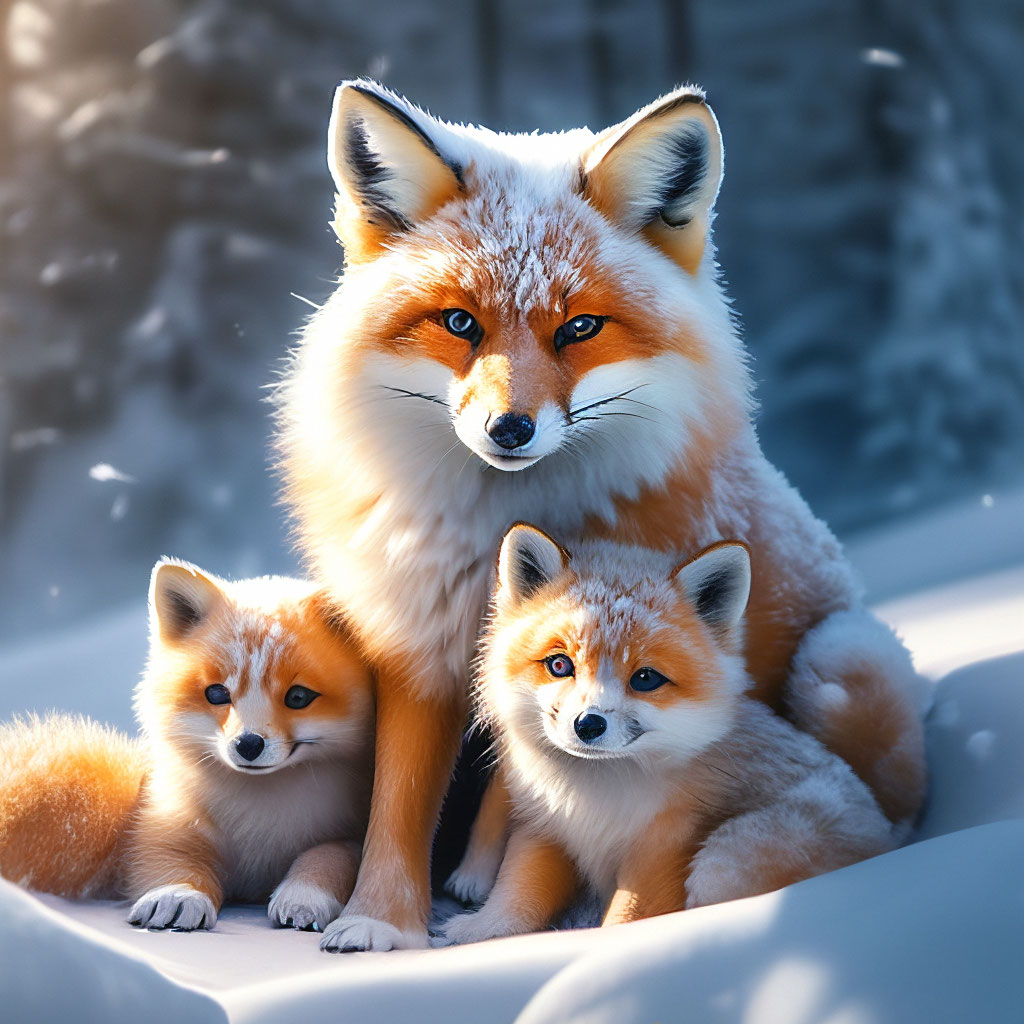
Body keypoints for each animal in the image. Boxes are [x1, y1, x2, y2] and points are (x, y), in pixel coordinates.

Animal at [0, 559, 374, 932]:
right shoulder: (168, 819)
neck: (259, 824)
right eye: (217, 693)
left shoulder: (352, 832)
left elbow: (328, 855)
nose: (247, 744)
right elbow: (173, 861)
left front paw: (304, 896)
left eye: (298, 697)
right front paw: (177, 897)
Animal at [439, 525, 896, 943]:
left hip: (720, 862)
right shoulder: (545, 827)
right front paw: (478, 933)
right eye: (559, 665)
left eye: (645, 678)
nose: (588, 724)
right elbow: (517, 896)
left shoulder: (661, 848)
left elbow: (626, 920)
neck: (594, 801)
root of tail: (891, 829)